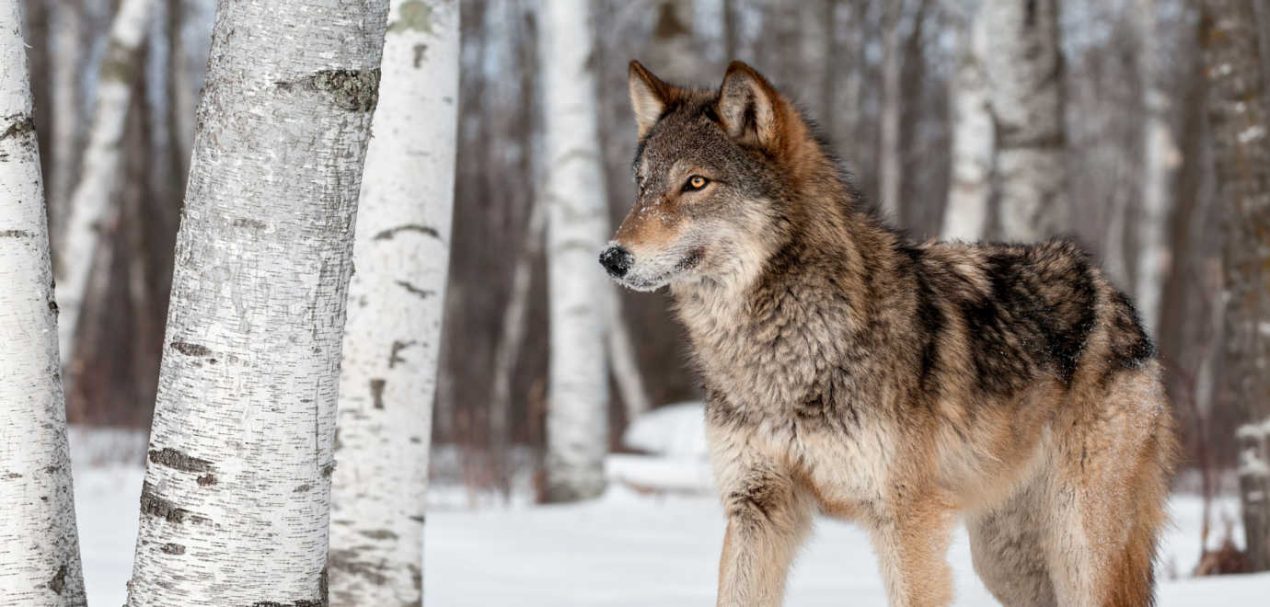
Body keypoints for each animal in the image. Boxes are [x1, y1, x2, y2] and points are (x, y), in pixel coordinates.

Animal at [599, 60, 1177, 607]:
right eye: (642, 186)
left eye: (696, 183)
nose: (610, 257)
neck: (783, 351)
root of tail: (1111, 291)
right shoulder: (757, 508)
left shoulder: (906, 520)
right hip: (1005, 561)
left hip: (1079, 547)